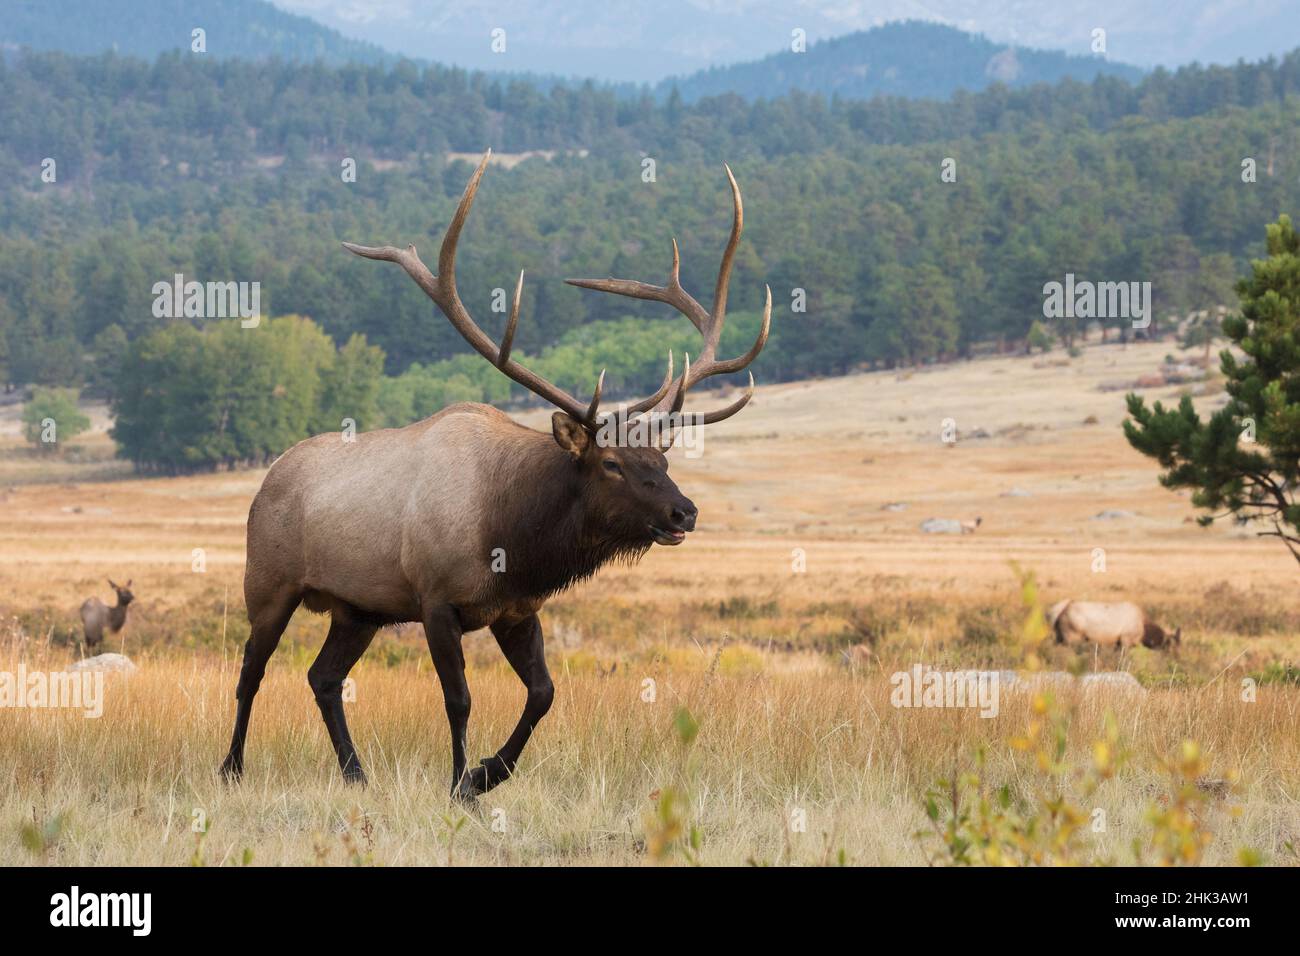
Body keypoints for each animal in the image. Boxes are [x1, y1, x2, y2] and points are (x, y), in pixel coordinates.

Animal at [219, 150, 771, 800]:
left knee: (322, 677)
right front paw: (459, 782)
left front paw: (486, 773)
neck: (512, 536)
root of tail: (268, 478)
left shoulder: (518, 609)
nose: (685, 511)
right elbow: (459, 700)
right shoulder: (435, 600)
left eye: (661, 461)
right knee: (251, 670)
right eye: (612, 464)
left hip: (359, 609)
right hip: (268, 582)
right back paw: (231, 767)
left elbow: (544, 693)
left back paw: (355, 774)